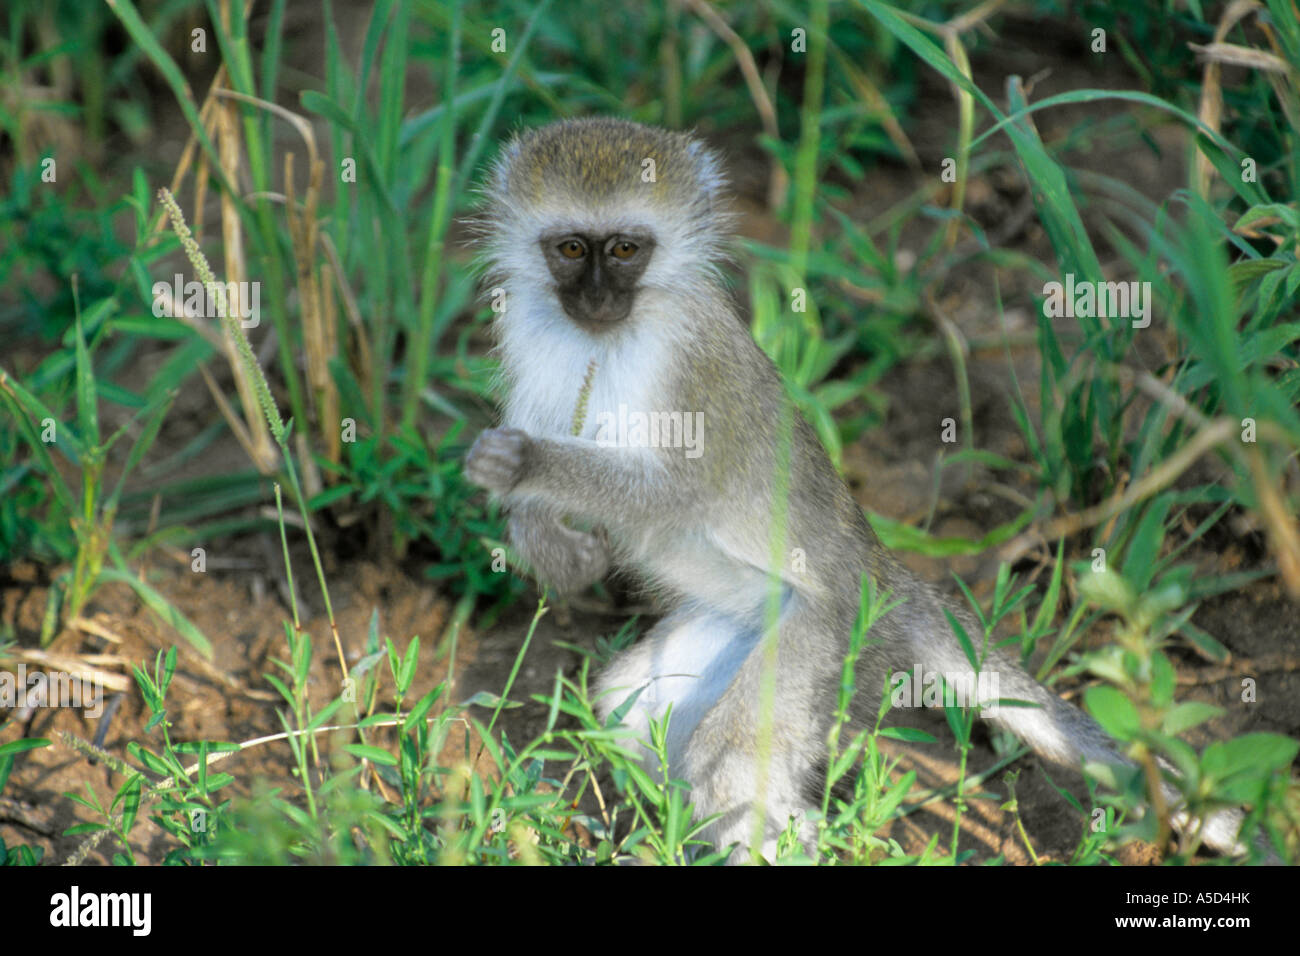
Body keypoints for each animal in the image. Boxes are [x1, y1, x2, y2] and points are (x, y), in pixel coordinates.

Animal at [464, 116, 1253, 863]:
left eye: (627, 250)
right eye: (572, 249)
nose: (597, 296)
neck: (609, 336)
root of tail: (880, 571)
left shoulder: (690, 365)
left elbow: (675, 496)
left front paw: (527, 462)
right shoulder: (527, 329)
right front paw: (551, 547)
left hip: (830, 640)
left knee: (730, 755)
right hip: (747, 621)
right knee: (636, 711)